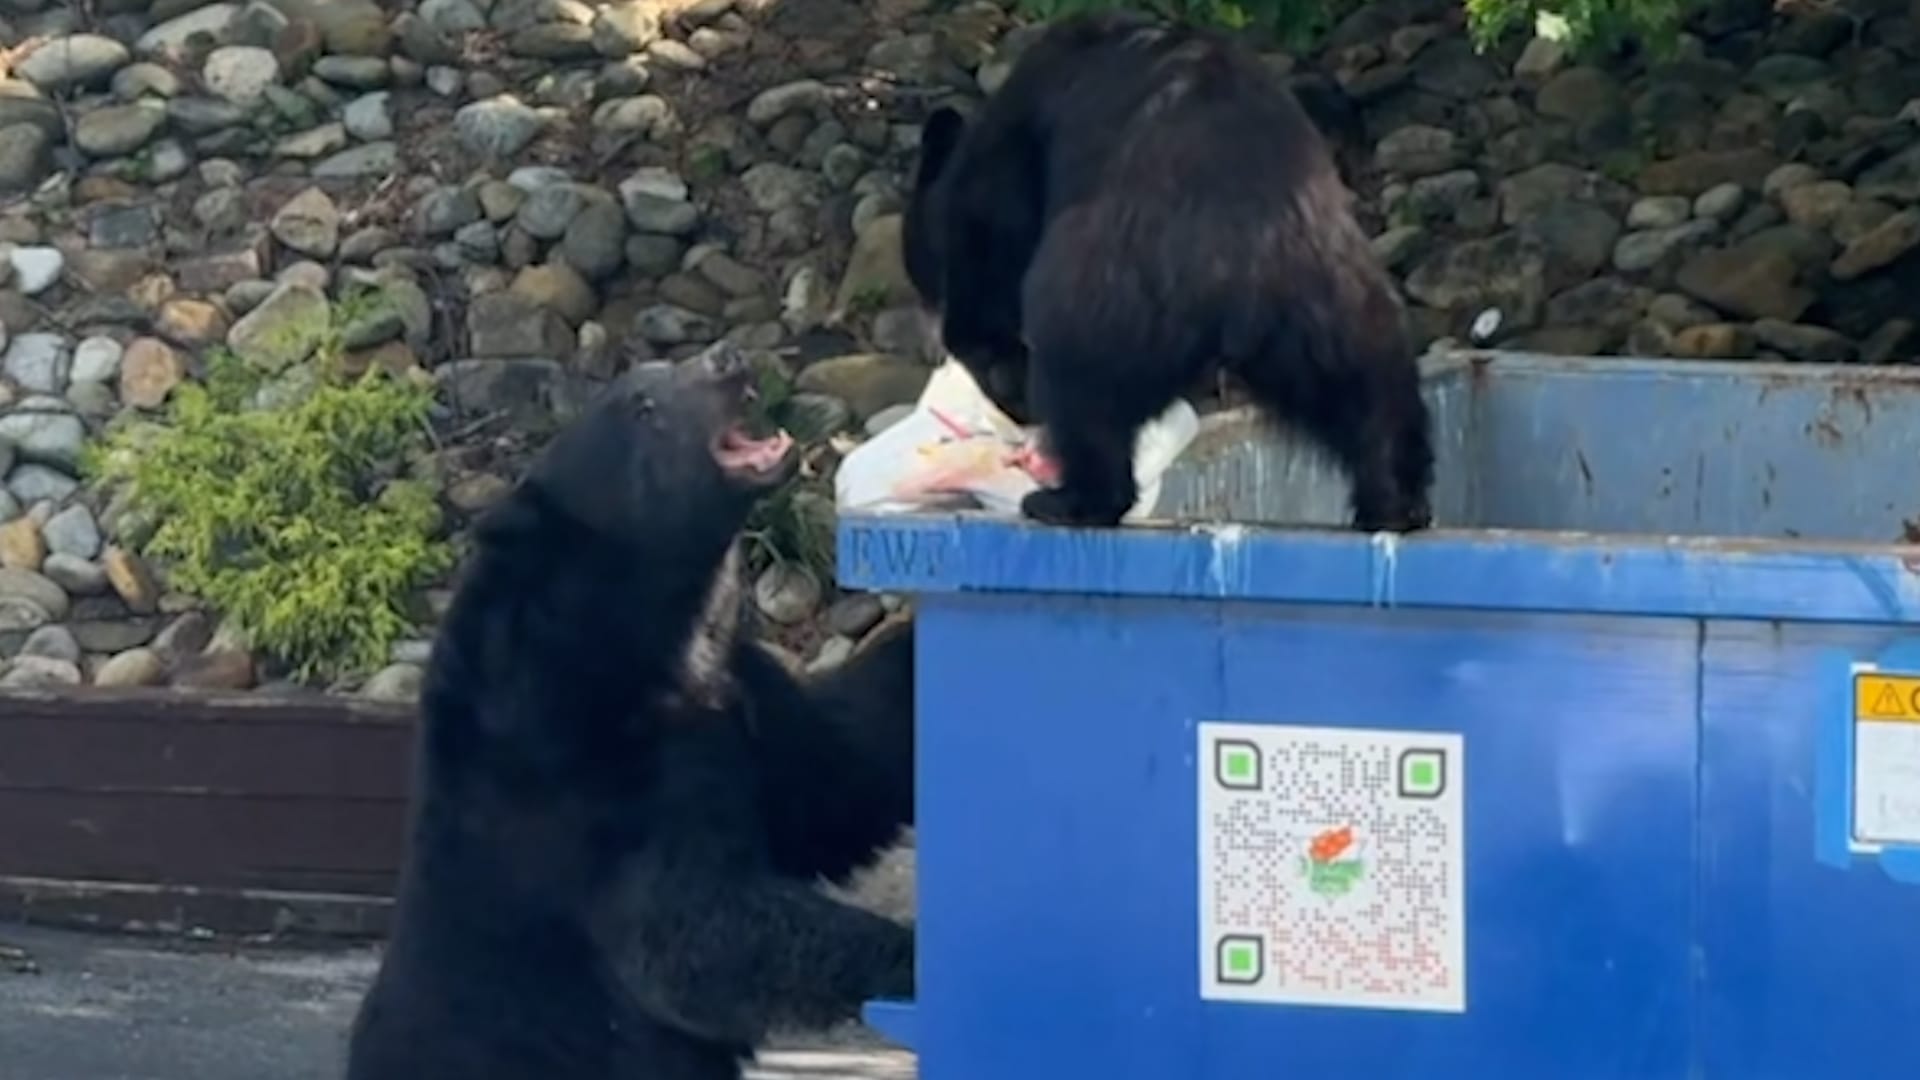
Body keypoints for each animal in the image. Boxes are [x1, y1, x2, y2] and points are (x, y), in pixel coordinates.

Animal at [345, 343, 917, 1080]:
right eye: (643, 406)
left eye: (660, 370)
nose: (726, 358)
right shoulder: (579, 773)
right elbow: (693, 932)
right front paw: (908, 951)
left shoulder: (739, 702)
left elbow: (838, 779)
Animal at [901, 11, 1434, 532]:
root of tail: (1238, 266)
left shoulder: (1020, 142)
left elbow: (991, 238)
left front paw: (997, 371)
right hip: (1330, 300)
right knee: (1370, 387)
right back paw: (1394, 501)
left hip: (1105, 289)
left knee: (1083, 392)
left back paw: (1070, 498)